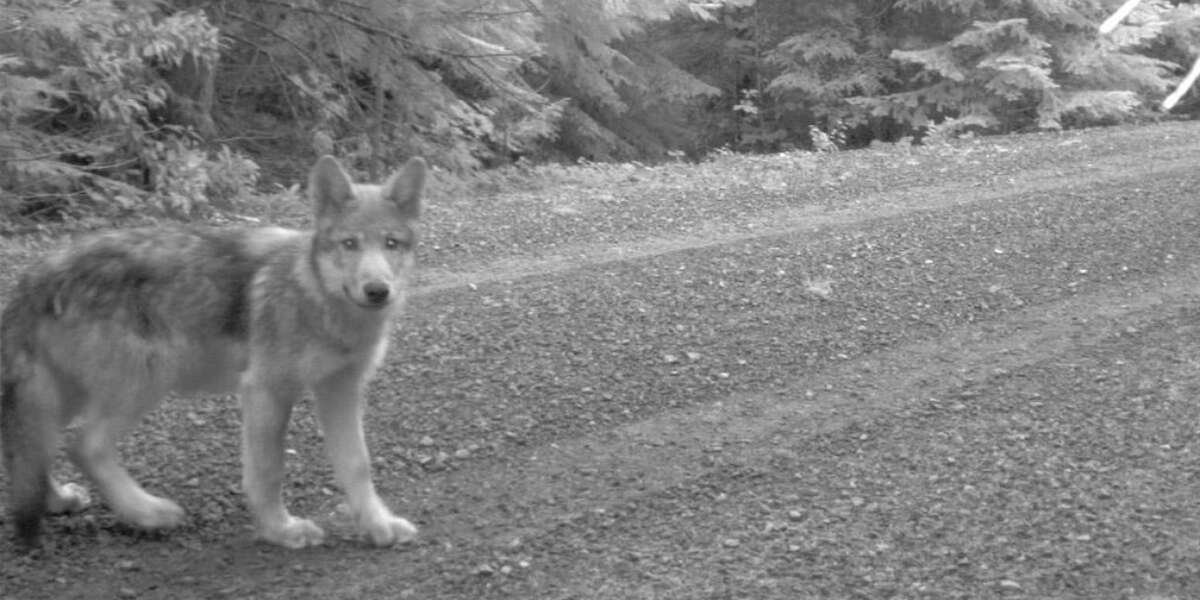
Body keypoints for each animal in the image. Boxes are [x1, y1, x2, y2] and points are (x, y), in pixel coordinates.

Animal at [1, 154, 426, 550]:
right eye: (349, 244)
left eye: (391, 244)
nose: (377, 290)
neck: (318, 297)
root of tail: (38, 274)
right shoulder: (265, 391)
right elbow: (268, 471)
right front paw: (280, 530)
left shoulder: (341, 391)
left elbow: (357, 465)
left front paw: (378, 527)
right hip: (145, 383)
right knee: (83, 447)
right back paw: (148, 513)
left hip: (68, 396)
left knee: (31, 444)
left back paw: (58, 500)